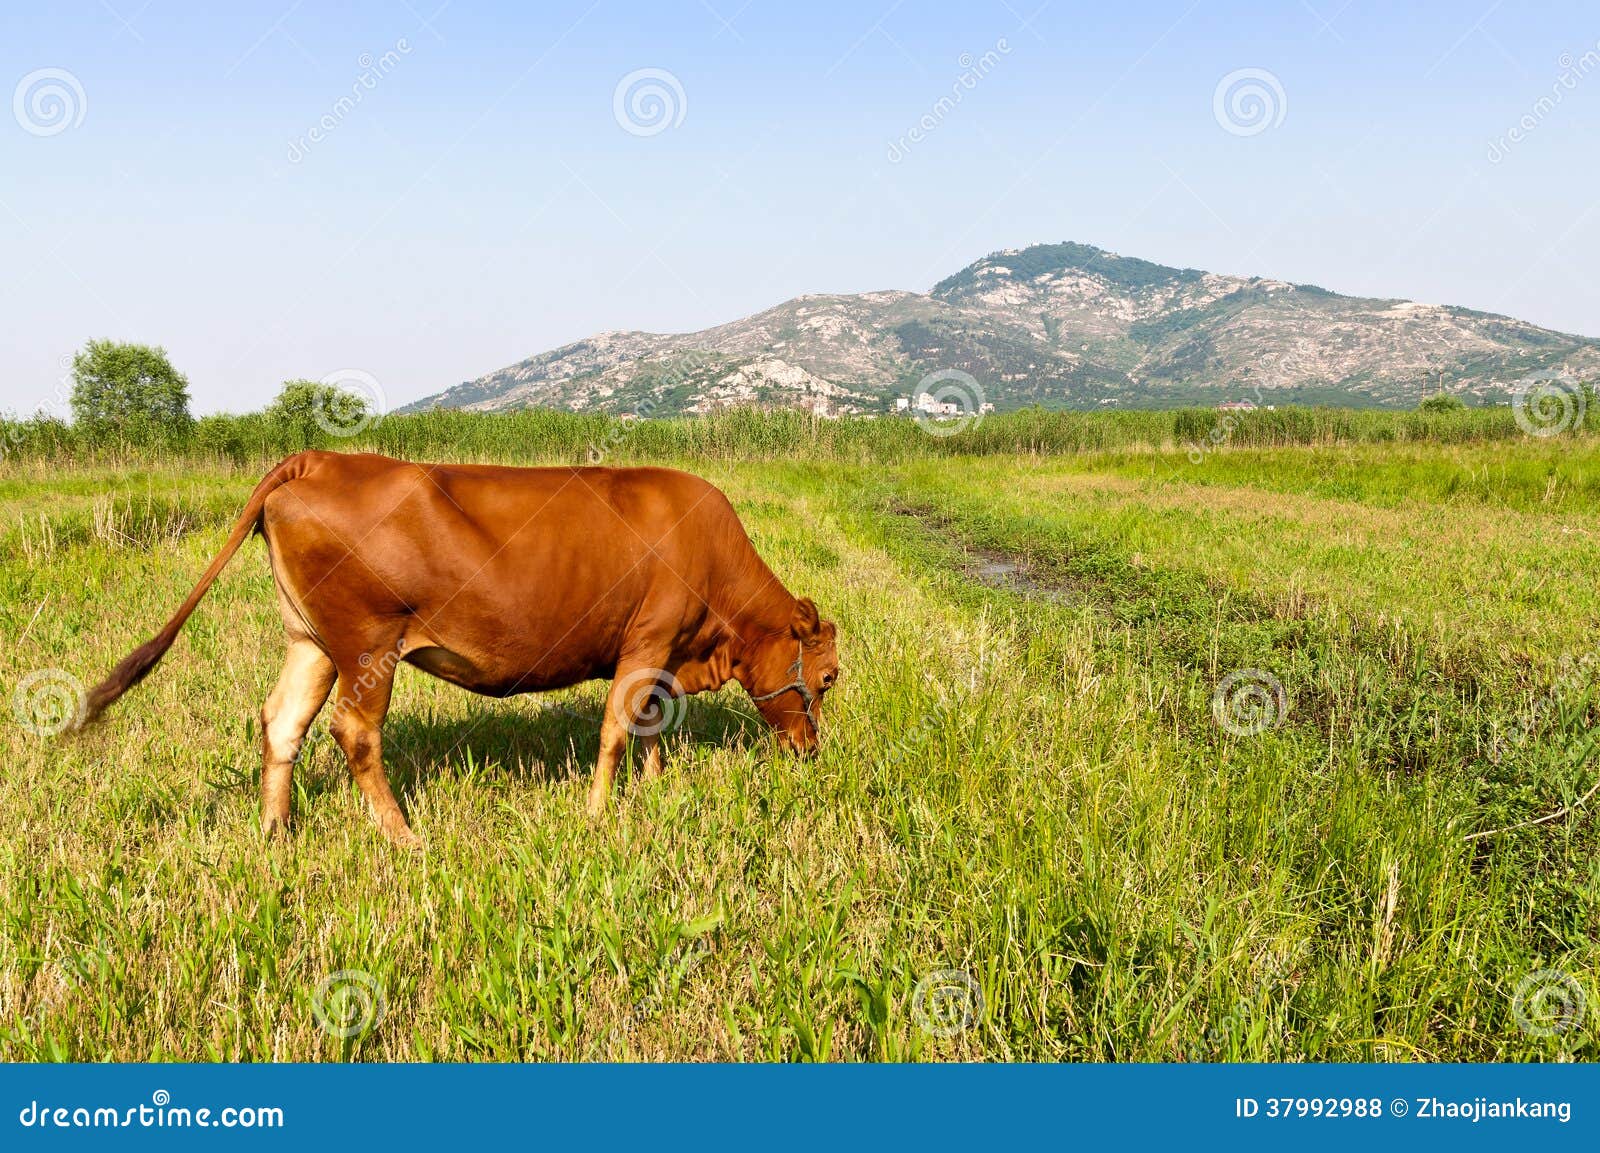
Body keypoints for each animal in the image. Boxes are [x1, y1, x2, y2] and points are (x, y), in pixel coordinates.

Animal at [78, 451, 840, 846]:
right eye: (829, 677)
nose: (811, 751)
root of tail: (321, 458)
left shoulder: (662, 653)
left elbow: (650, 724)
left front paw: (653, 788)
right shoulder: (648, 640)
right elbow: (617, 729)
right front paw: (597, 813)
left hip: (312, 641)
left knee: (282, 721)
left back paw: (276, 830)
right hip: (369, 644)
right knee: (354, 731)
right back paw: (403, 837)